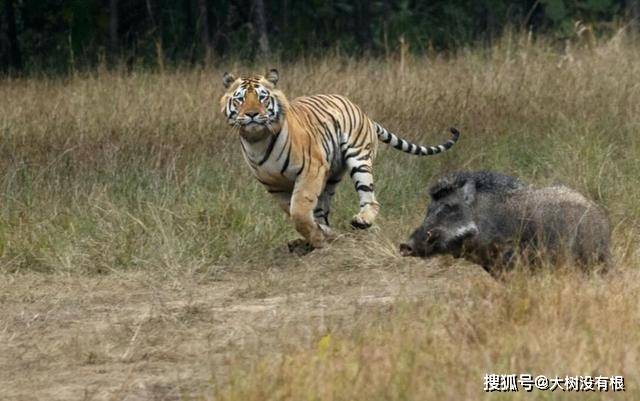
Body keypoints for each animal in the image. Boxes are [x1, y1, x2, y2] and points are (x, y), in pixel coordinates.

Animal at [220, 68, 460, 251]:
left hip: (358, 159)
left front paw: (317, 239)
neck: (257, 140)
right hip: (331, 176)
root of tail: (363, 112)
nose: (251, 114)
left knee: (369, 198)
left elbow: (299, 211)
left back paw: (362, 220)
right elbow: (295, 212)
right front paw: (319, 235)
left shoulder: (311, 170)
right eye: (240, 99)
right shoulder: (274, 187)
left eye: (262, 97)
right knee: (323, 209)